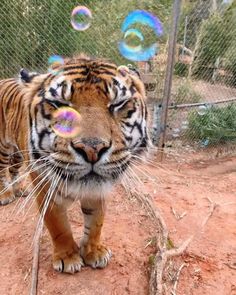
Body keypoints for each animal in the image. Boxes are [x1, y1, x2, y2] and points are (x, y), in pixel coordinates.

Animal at [0, 55, 149, 276]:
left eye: (118, 104)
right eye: (60, 104)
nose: (92, 149)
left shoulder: (98, 189)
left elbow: (96, 222)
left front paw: (94, 252)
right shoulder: (45, 188)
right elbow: (58, 226)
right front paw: (68, 257)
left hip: (18, 154)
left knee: (13, 169)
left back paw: (19, 190)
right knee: (2, 171)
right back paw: (6, 195)